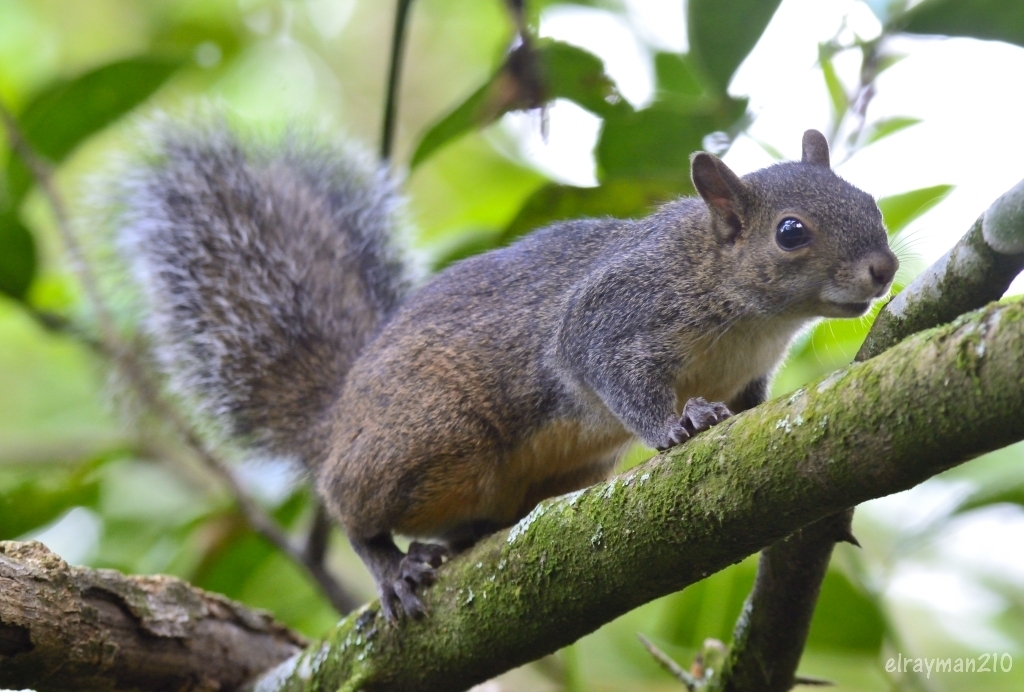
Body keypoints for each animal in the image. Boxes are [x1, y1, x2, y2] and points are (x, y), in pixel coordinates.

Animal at [118, 124, 897, 622]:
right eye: (791, 232)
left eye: (871, 202)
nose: (884, 269)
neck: (749, 313)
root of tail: (337, 417)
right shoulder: (612, 313)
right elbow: (607, 370)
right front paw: (680, 423)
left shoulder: (748, 374)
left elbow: (751, 402)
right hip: (429, 433)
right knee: (349, 502)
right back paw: (391, 566)